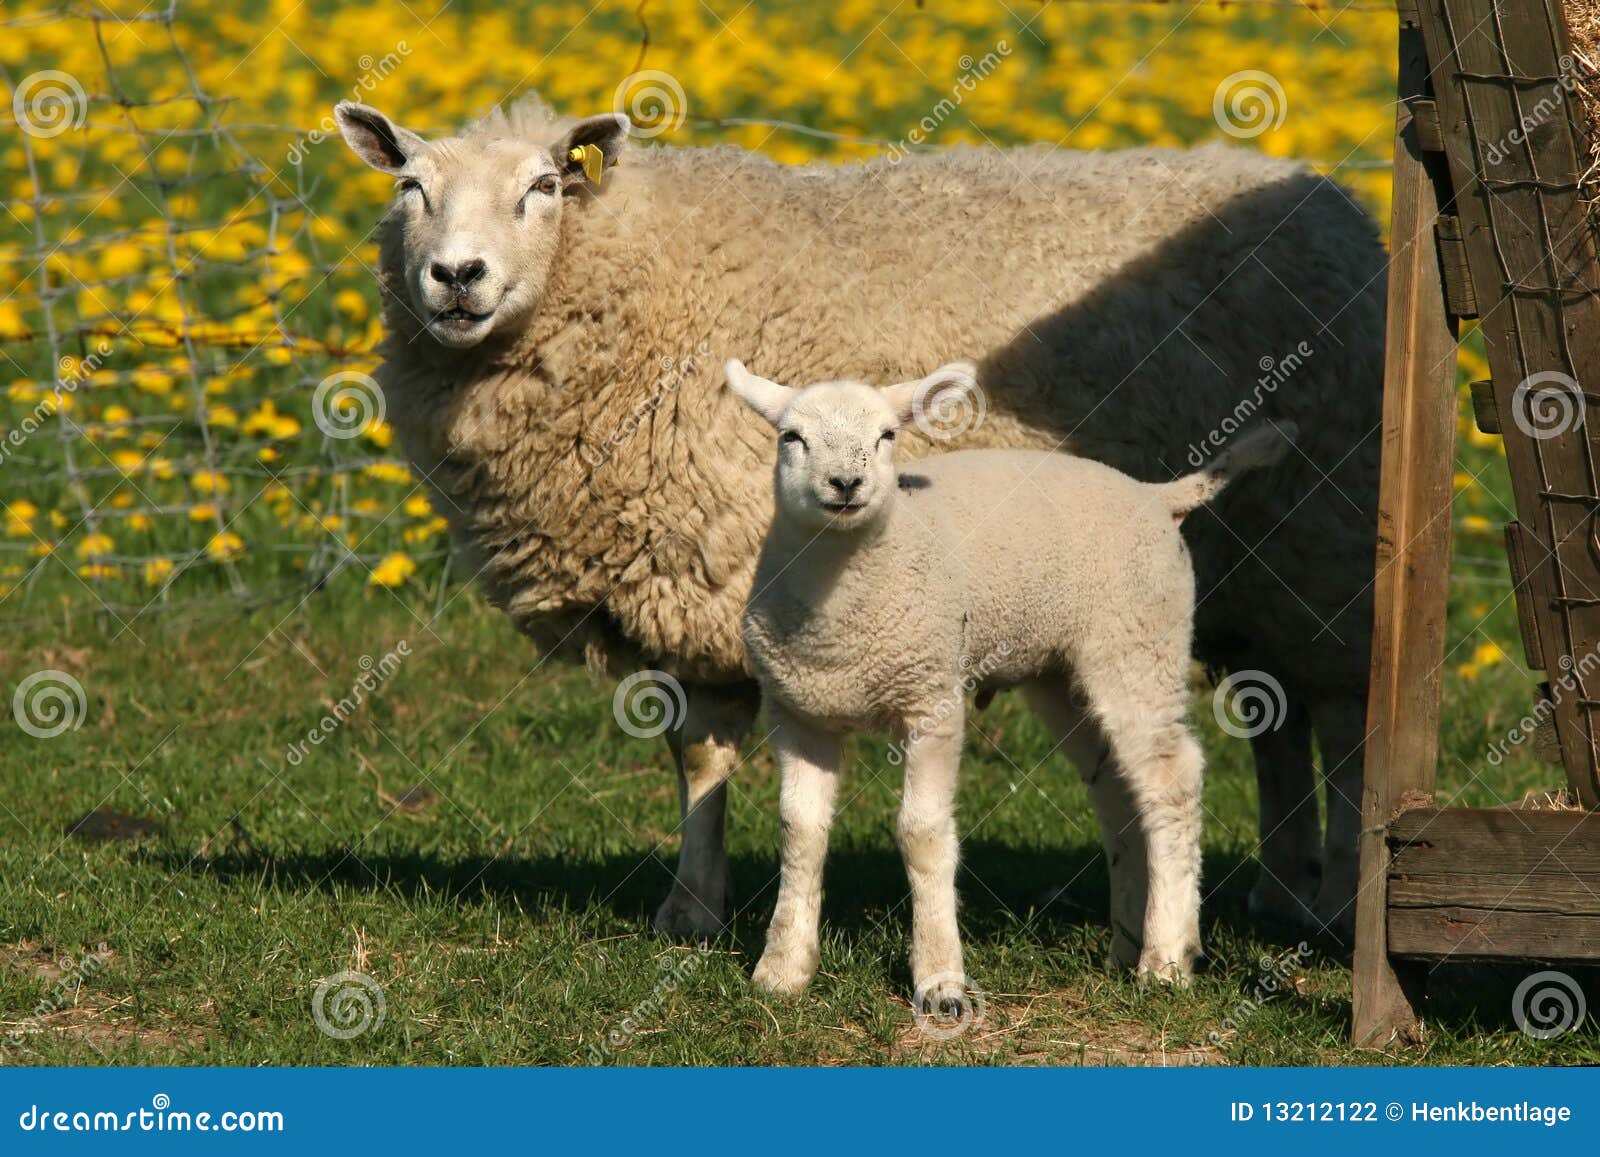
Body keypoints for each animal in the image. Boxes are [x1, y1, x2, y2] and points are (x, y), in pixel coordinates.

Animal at [724, 358, 1295, 996]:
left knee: (1173, 779)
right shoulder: (797, 712)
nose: (846, 484)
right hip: (1066, 676)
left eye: (887, 436)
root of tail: (1158, 497)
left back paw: (1167, 958)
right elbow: (801, 832)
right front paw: (782, 968)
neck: (839, 622)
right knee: (1121, 799)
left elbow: (922, 833)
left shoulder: (931, 697)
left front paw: (939, 977)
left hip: (1139, 642)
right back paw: (1127, 947)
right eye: (791, 438)